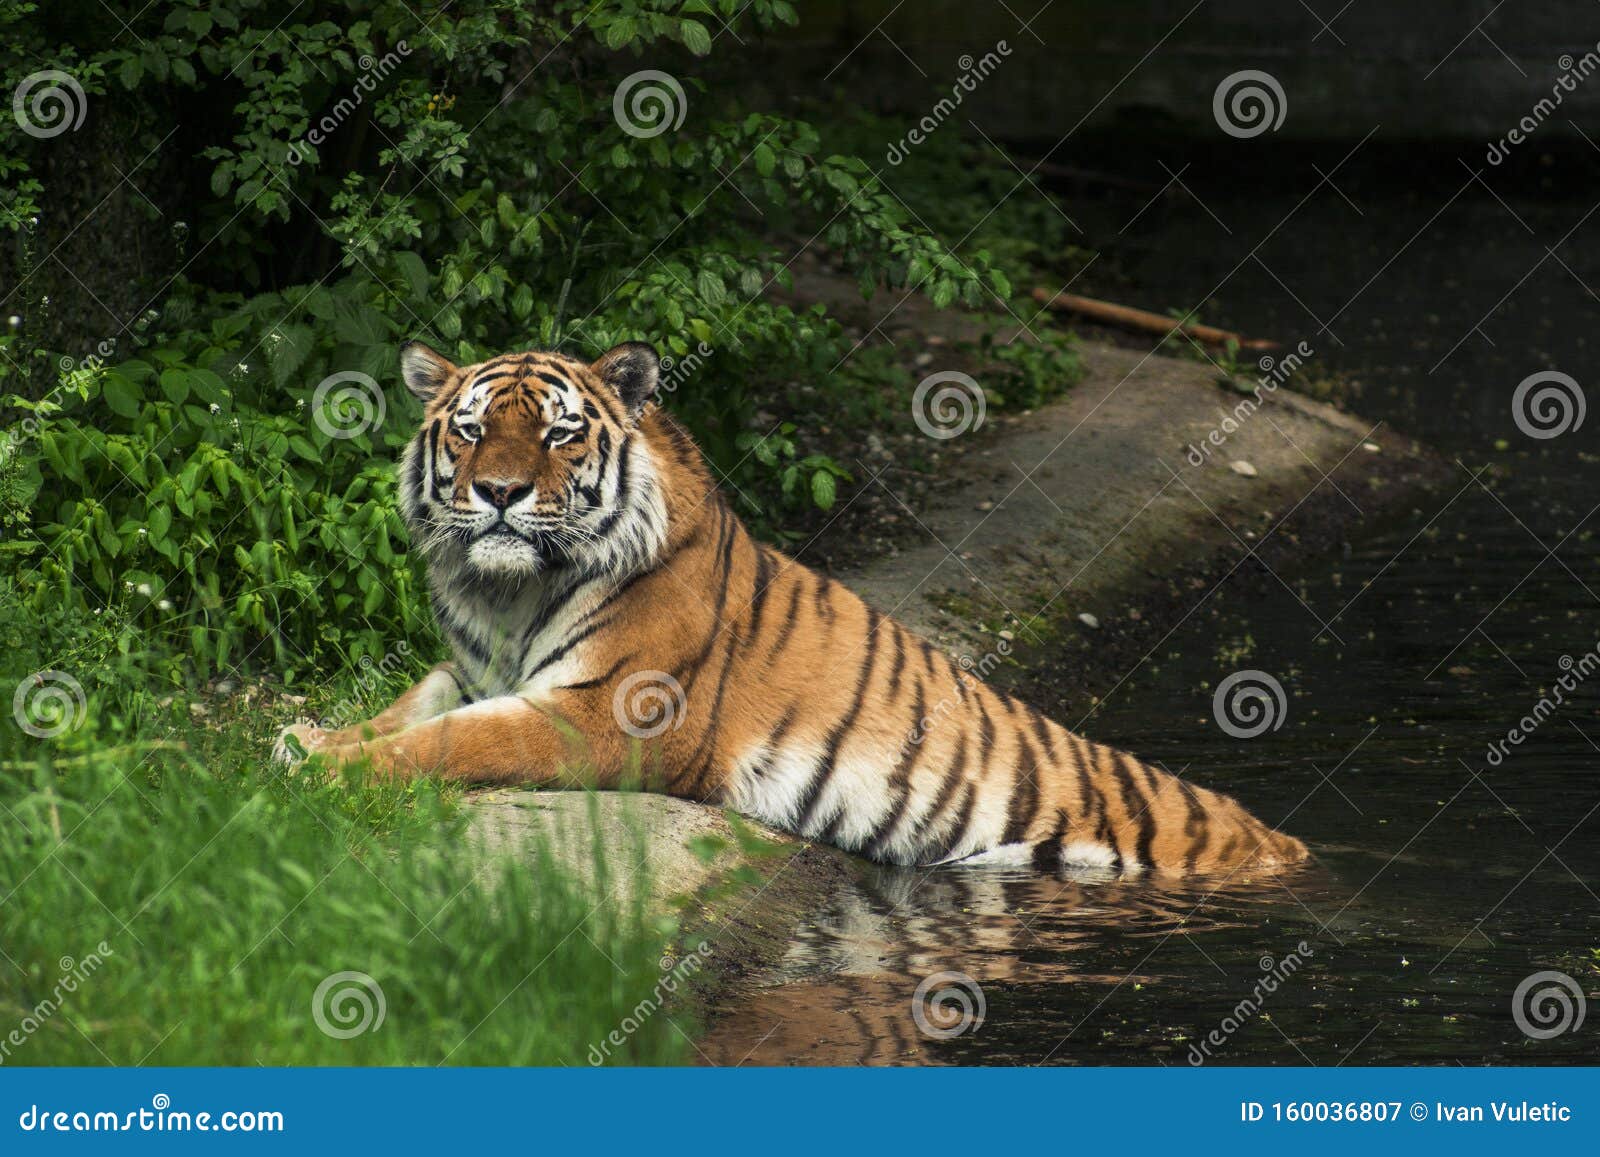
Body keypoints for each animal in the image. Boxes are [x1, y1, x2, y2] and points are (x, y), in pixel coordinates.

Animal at [274, 339, 1310, 875]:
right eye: (472, 428)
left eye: (562, 434)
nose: (496, 492)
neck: (507, 592)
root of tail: (1283, 841)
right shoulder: (475, 668)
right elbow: (416, 704)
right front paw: (307, 736)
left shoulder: (606, 711)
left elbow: (456, 740)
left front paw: (324, 767)